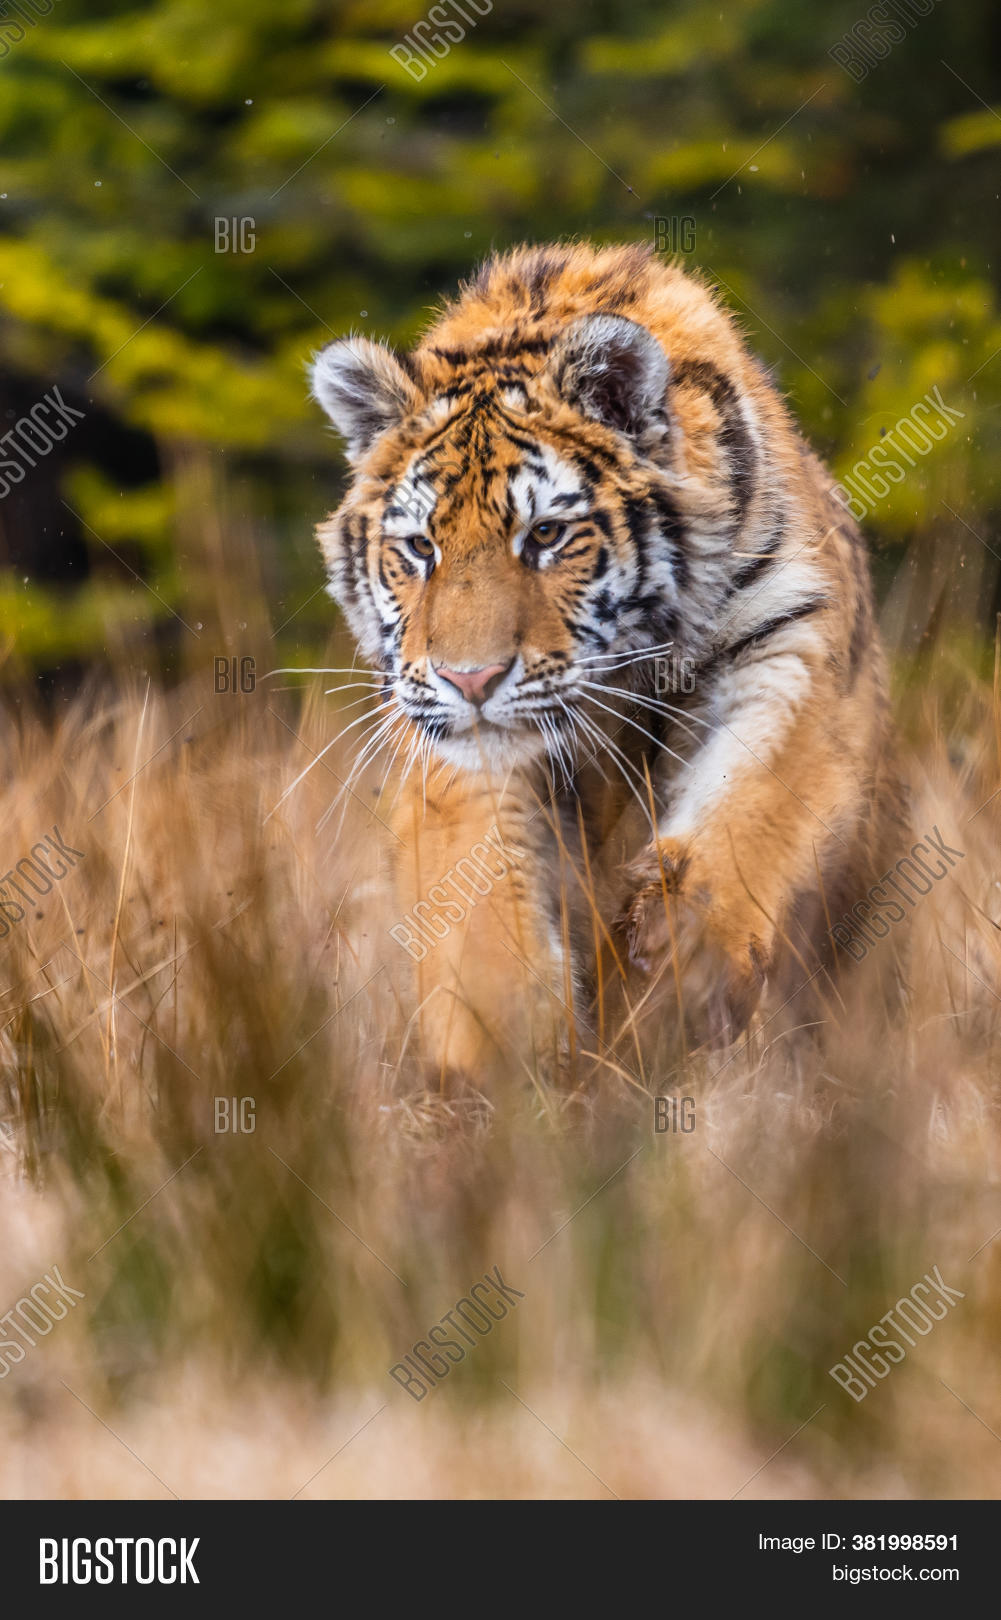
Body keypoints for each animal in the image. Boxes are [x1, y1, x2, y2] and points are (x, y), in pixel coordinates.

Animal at [309, 240, 908, 1084]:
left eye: (545, 536)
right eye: (420, 548)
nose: (470, 679)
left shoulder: (790, 649)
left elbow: (753, 805)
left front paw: (681, 967)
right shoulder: (448, 742)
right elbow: (480, 897)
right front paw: (507, 1053)